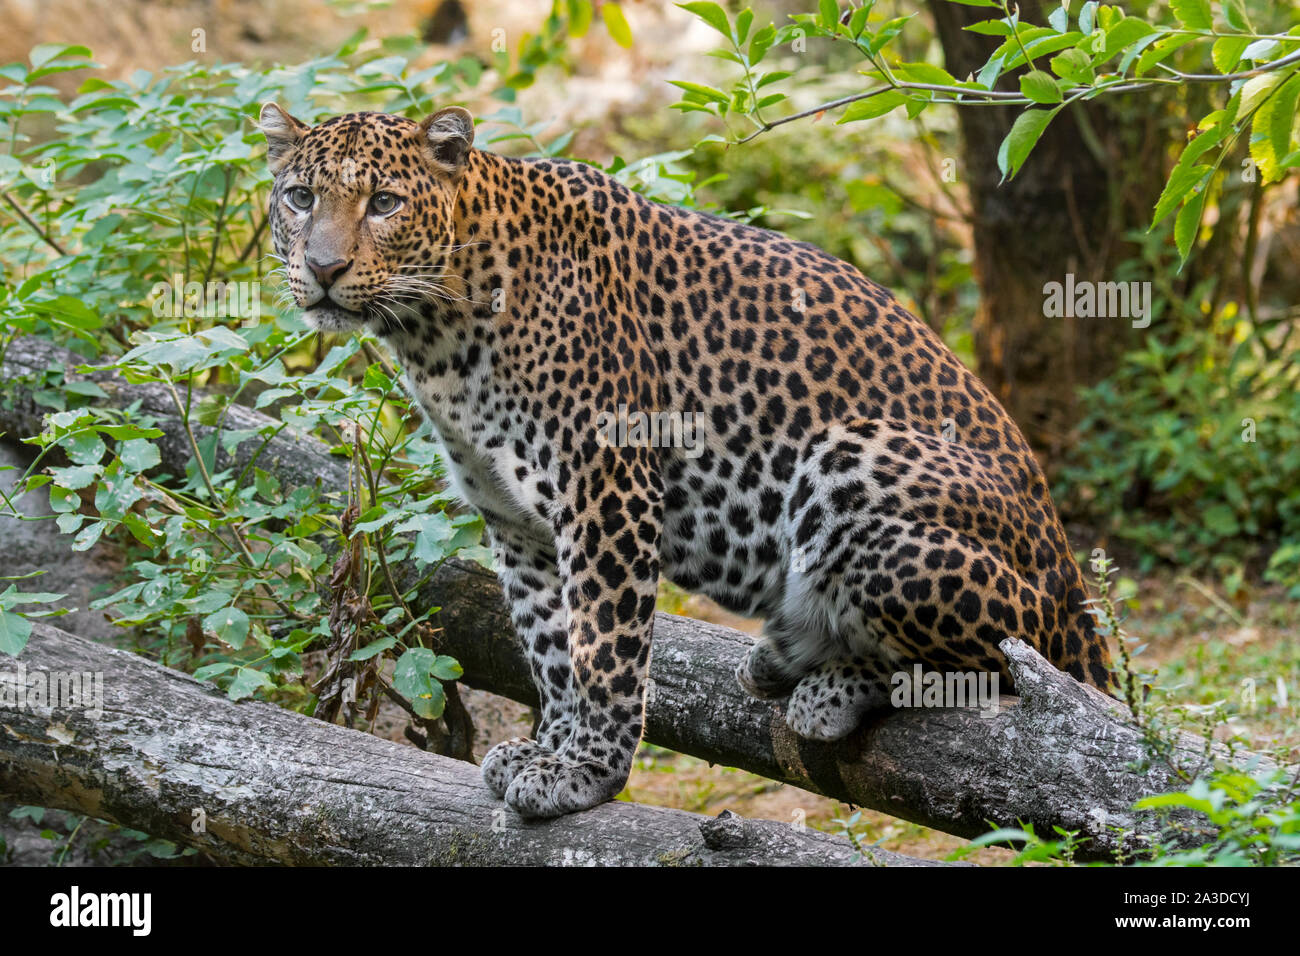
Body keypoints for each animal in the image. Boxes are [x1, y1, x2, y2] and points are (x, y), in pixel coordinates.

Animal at [259, 103, 1114, 819]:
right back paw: (780, 662)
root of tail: (1067, 569)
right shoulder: (515, 521)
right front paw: (547, 750)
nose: (325, 269)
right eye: (299, 198)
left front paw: (586, 773)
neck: (436, 334)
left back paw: (831, 686)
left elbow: (603, 647)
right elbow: (549, 646)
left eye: (385, 204)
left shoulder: (604, 488)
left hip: (856, 460)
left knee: (1008, 657)